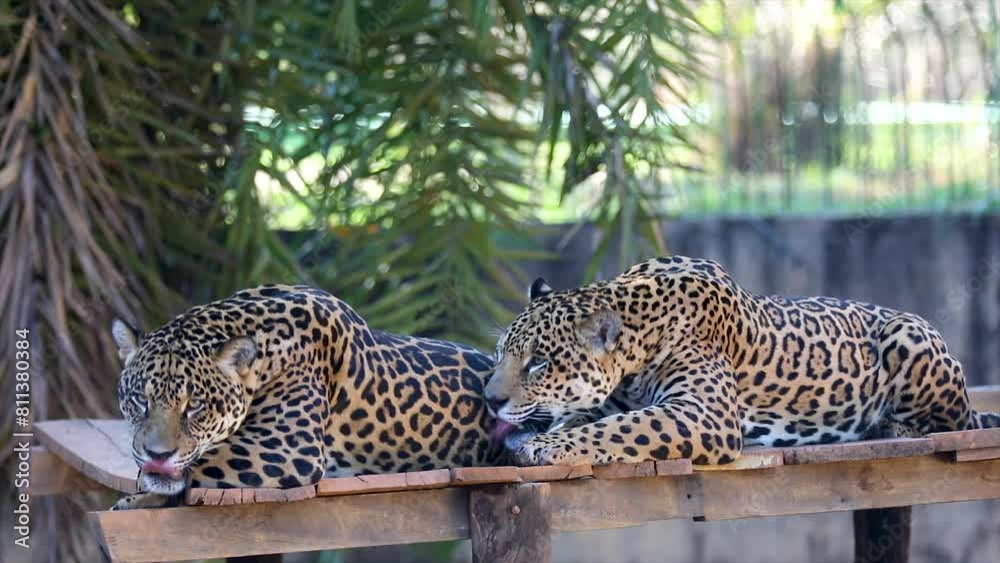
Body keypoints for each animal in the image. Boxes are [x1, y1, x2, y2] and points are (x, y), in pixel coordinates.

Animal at [110, 284, 503, 510]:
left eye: (194, 406)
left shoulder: (286, 448)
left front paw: (138, 496)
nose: (158, 454)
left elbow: (201, 463)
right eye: (140, 400)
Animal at [485, 255, 1000, 467]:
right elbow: (594, 420)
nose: (489, 399)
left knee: (955, 421)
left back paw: (891, 426)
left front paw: (543, 446)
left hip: (907, 334)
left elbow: (620, 429)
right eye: (499, 354)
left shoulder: (703, 414)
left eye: (538, 363)